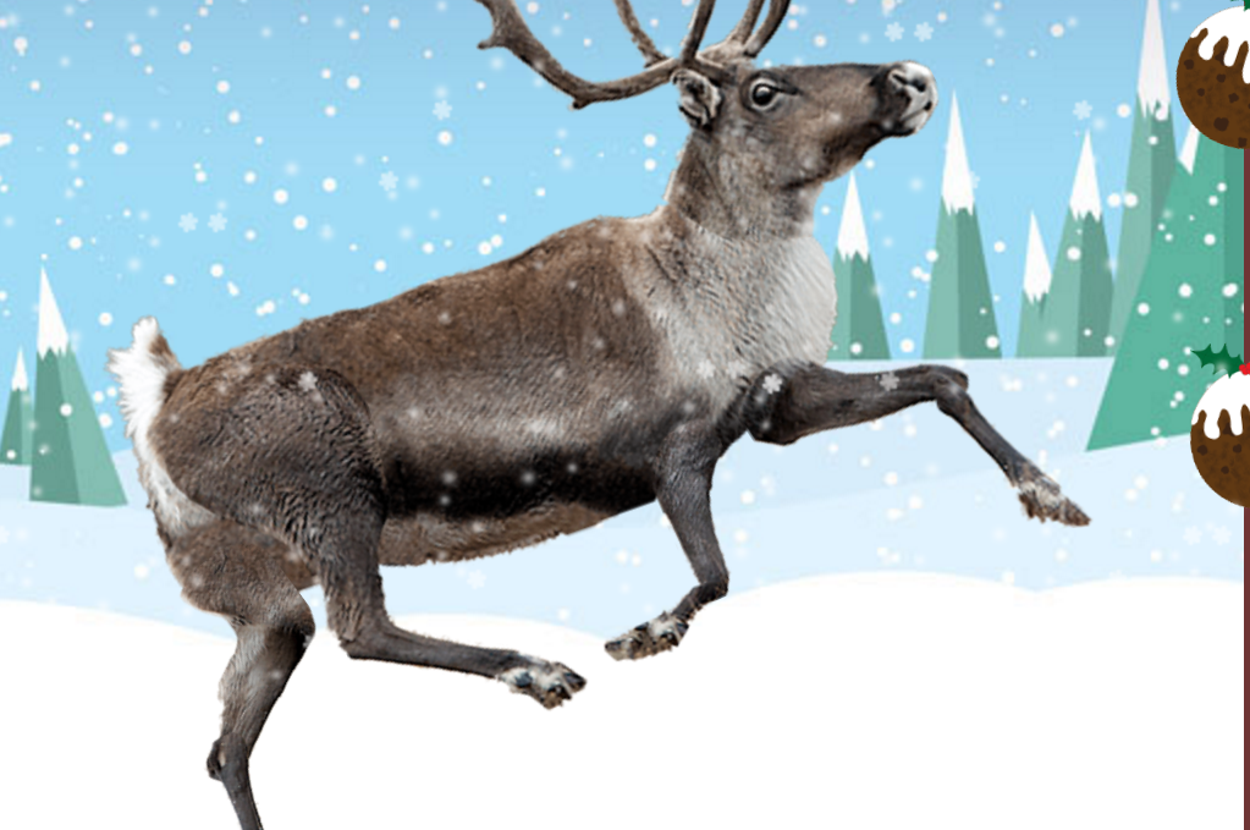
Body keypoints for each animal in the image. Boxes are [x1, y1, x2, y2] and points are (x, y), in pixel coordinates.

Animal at [107, 1, 1090, 827]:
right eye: (765, 90)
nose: (911, 76)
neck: (725, 292)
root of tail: (156, 408)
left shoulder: (776, 401)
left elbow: (945, 379)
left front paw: (1051, 496)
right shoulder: (676, 451)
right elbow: (718, 575)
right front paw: (647, 632)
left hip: (252, 590)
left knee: (229, 743)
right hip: (335, 497)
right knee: (360, 629)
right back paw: (539, 669)